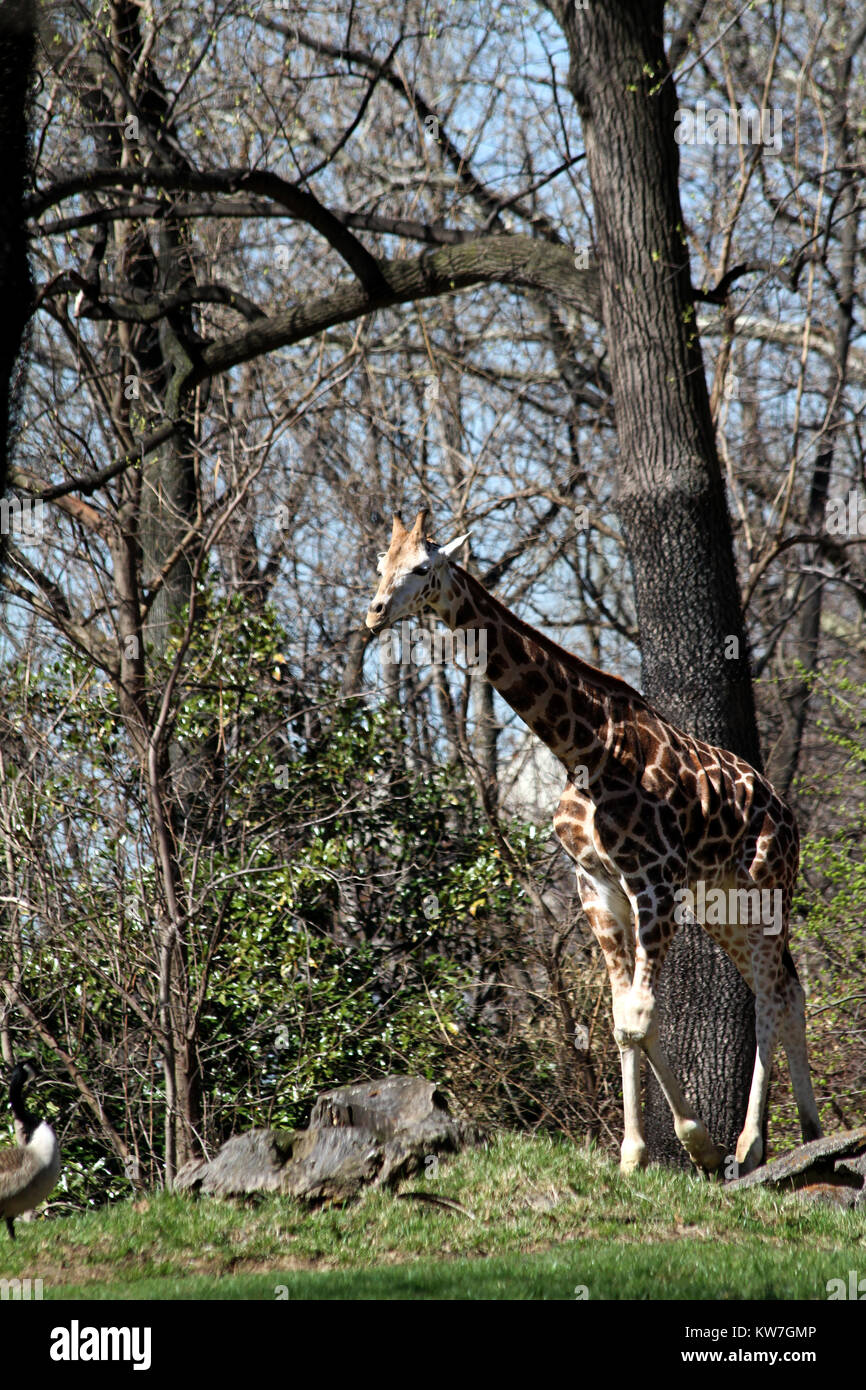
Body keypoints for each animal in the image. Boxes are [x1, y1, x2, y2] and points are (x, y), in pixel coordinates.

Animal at [364, 510, 823, 1175]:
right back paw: (805, 1132)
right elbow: (619, 1020)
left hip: (766, 891)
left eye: (422, 568)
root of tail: (788, 818)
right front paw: (632, 1156)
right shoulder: (597, 887)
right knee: (784, 989)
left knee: (773, 995)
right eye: (382, 564)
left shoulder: (653, 882)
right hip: (721, 905)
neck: (582, 748)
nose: (374, 613)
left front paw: (699, 1146)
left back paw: (753, 1144)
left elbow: (638, 1018)